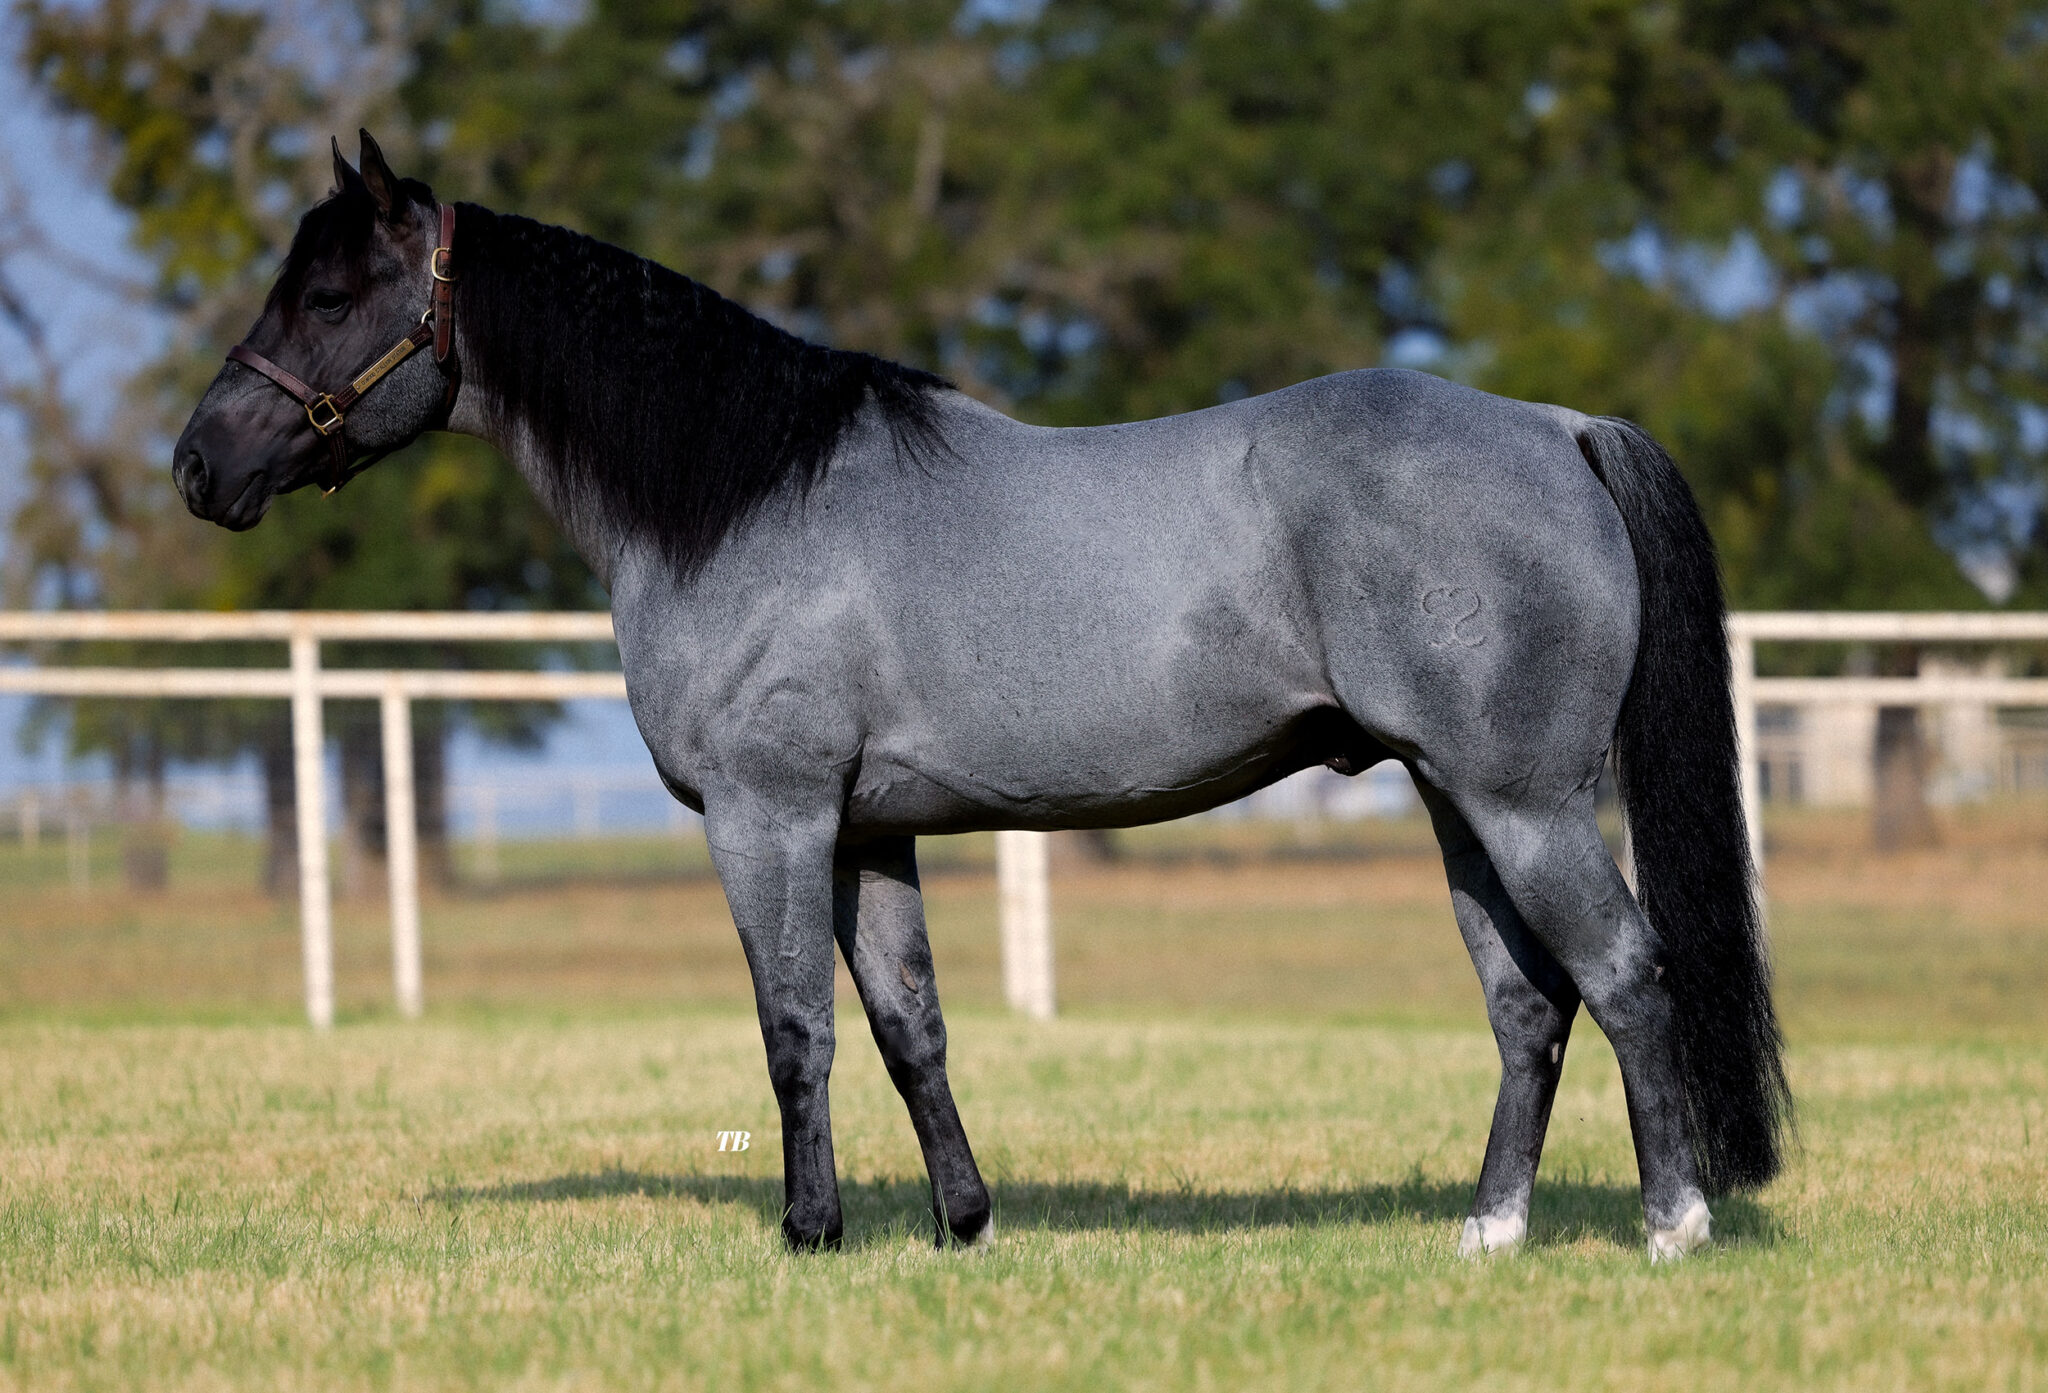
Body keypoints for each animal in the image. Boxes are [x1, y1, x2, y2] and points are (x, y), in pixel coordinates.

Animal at [173, 132, 1788, 1259]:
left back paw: (1671, 1228)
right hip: (1461, 805)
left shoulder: (768, 817)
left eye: (330, 294)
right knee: (1528, 1006)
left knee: (1625, 976)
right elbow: (910, 1029)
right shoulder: (867, 831)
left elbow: (794, 1027)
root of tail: (1555, 425)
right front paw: (963, 1222)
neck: (741, 496)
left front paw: (812, 1232)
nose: (200, 463)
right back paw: (1489, 1230)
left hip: (1524, 803)